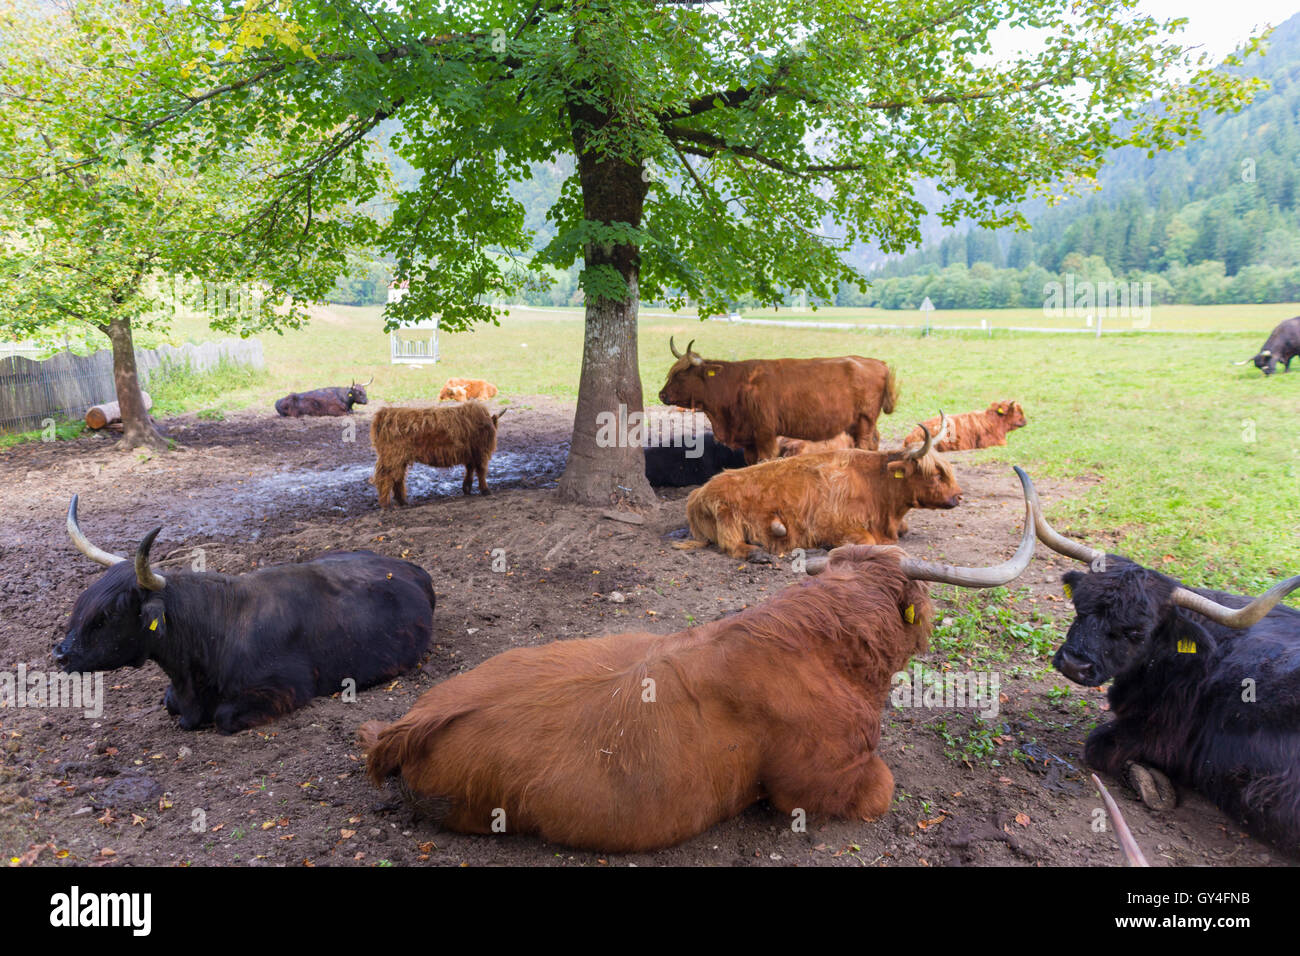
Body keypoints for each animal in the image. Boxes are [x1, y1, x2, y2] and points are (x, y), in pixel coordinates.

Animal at [55, 496, 435, 734]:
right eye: (82, 603)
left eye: (108, 614)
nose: (61, 654)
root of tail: (407, 565)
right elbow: (168, 703)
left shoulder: (287, 687)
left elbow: (224, 716)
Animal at [370, 401, 505, 507]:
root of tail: (384, 413)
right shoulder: (481, 453)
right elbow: (481, 471)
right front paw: (485, 490)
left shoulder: (471, 454)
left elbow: (470, 470)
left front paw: (467, 488)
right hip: (392, 458)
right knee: (385, 478)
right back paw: (386, 505)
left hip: (399, 460)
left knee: (397, 478)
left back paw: (403, 502)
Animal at [657, 339, 898, 463]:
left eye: (681, 375)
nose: (662, 395)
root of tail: (877, 362)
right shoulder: (750, 441)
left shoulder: (765, 434)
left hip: (864, 422)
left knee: (867, 446)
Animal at [672, 415, 959, 561]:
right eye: (935, 474)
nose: (959, 497)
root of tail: (697, 495)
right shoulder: (837, 526)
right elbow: (867, 542)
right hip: (726, 514)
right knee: (730, 545)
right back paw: (756, 554)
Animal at [1023, 468, 1300, 852]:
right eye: (1080, 607)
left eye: (1136, 632)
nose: (1075, 665)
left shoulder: (1160, 732)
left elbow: (1099, 746)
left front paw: (1153, 784)